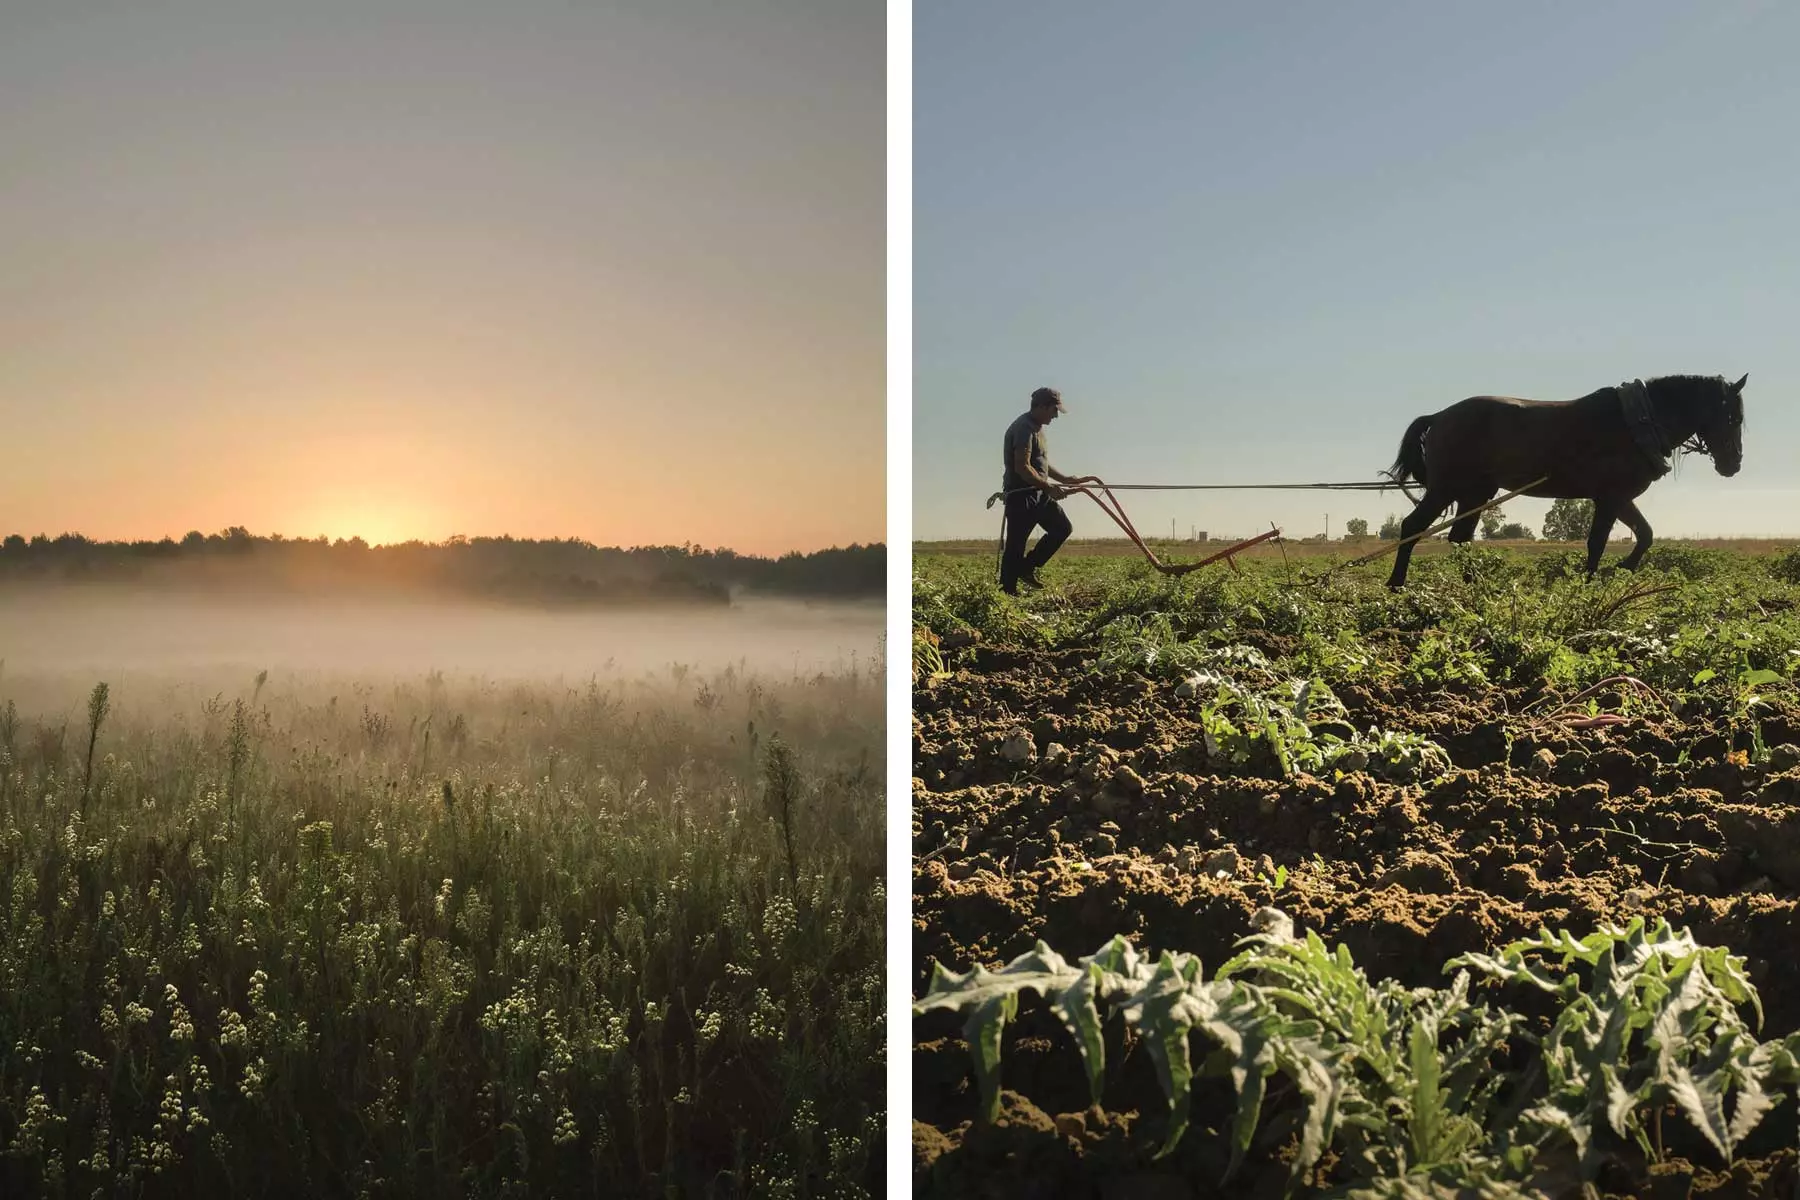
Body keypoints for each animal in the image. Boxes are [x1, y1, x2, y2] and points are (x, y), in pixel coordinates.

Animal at [1375, 370, 1742, 586]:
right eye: (1732, 416)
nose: (1734, 464)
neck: (1637, 422)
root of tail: (1439, 416)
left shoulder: (1619, 497)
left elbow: (1646, 535)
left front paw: (1621, 569)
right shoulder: (1611, 497)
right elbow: (1597, 542)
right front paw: (1590, 582)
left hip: (1476, 492)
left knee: (1459, 538)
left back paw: (1476, 586)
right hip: (1446, 488)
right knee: (1413, 527)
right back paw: (1397, 584)